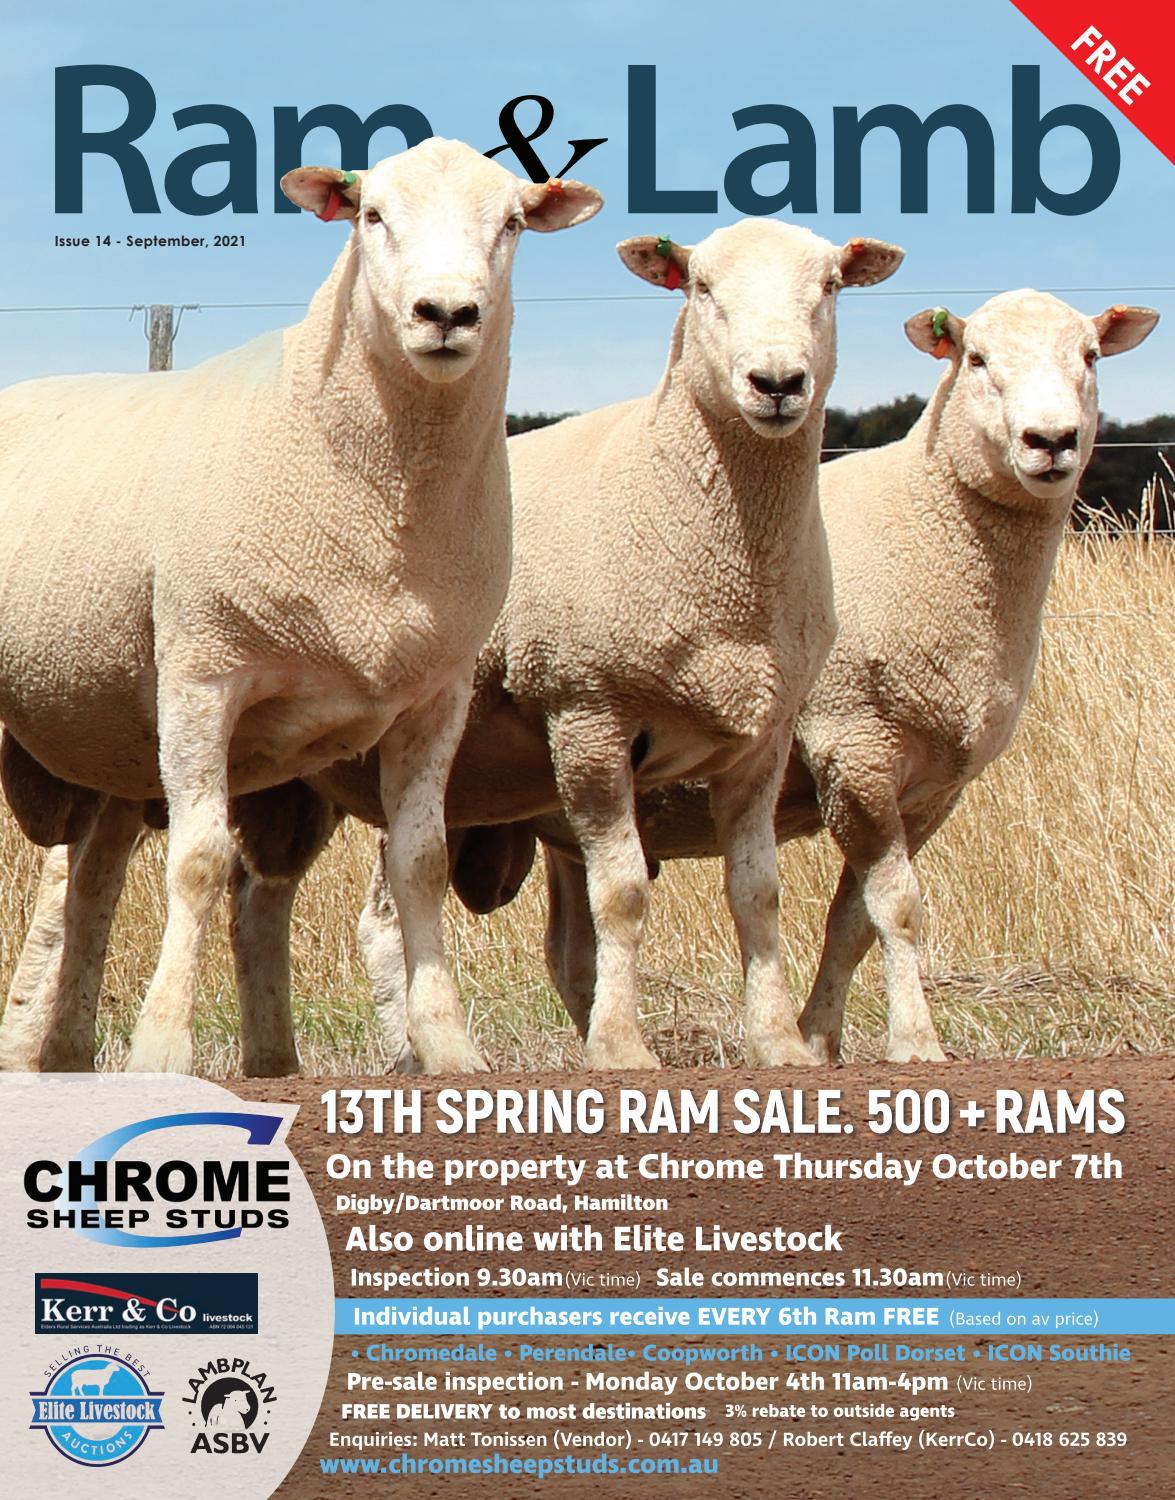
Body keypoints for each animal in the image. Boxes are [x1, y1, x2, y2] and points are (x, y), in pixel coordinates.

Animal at [0, 137, 602, 1077]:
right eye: (372, 215)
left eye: (510, 222)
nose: (447, 313)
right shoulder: (202, 674)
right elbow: (200, 862)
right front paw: (162, 1049)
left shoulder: (437, 697)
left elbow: (422, 864)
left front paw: (448, 1046)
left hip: (108, 731)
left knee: (93, 875)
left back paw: (64, 1050)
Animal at [531, 291, 1160, 1063]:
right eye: (976, 359)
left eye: (1090, 357)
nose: (1051, 441)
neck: (931, 524)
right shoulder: (853, 744)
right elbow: (898, 906)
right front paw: (915, 1042)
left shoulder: (930, 789)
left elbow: (854, 921)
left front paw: (818, 1038)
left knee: (567, 949)